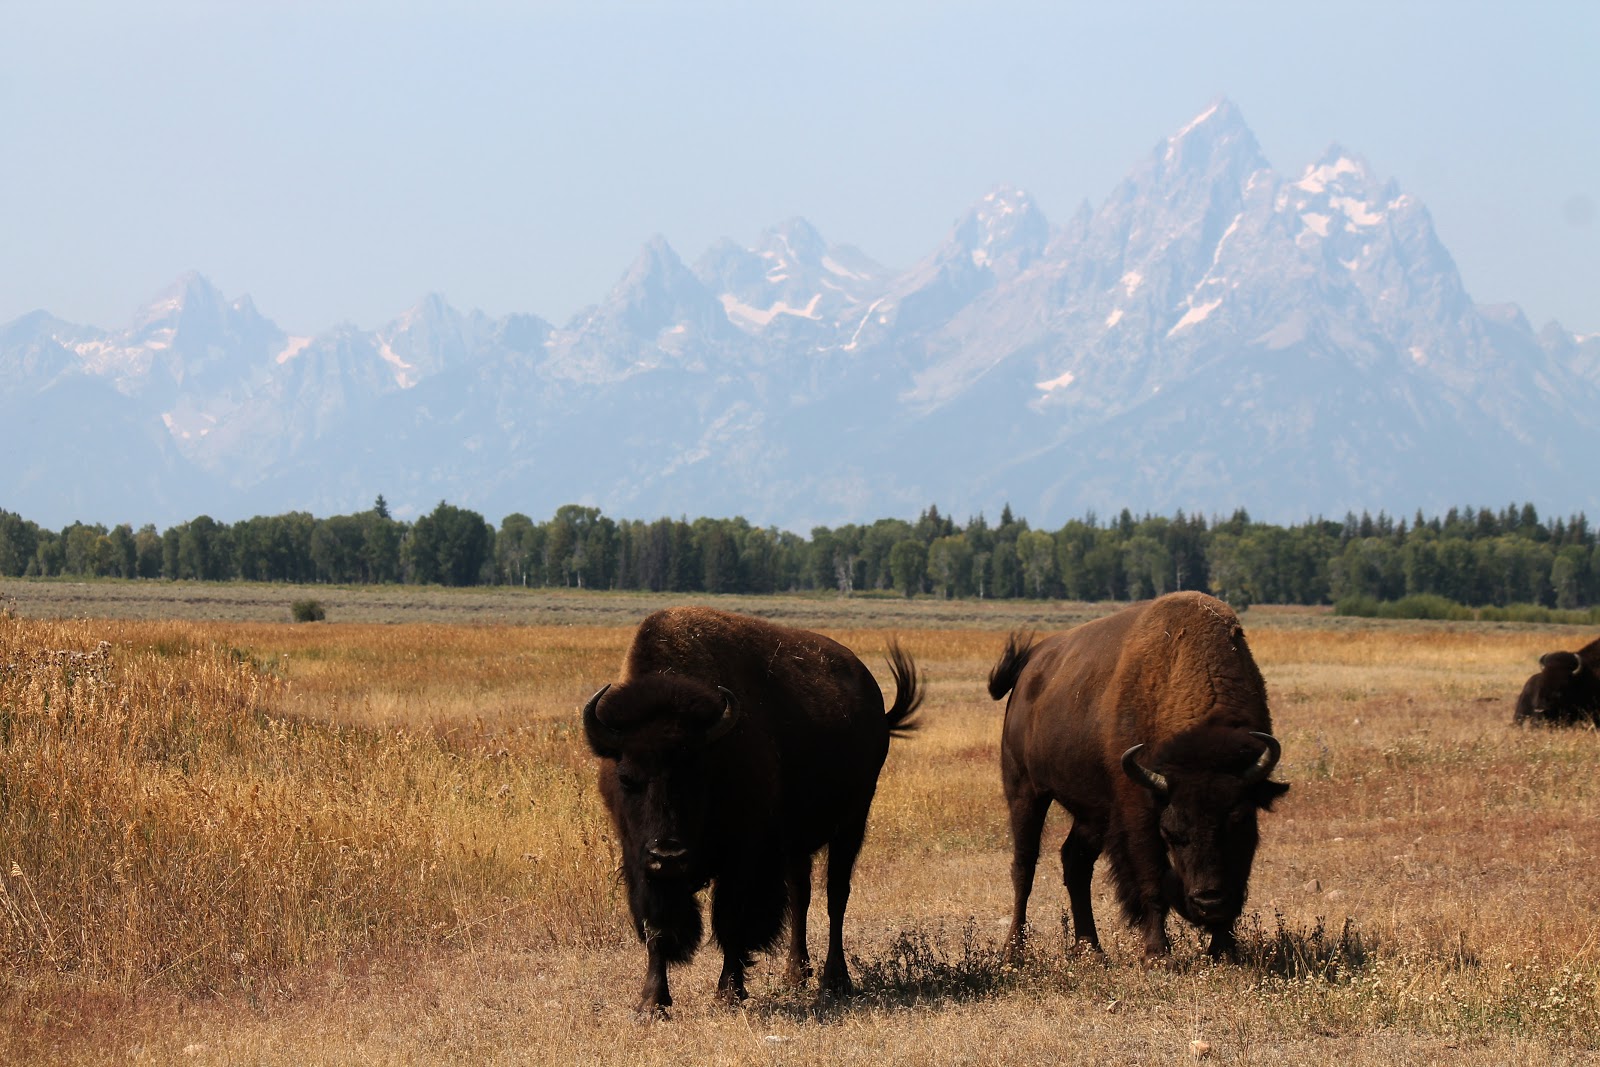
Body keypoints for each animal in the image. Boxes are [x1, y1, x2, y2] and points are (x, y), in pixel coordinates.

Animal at [582, 606, 922, 1013]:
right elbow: (657, 927)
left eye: (698, 774)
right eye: (627, 777)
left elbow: (733, 921)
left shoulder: (742, 858)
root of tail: (875, 704)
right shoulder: (640, 861)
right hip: (797, 845)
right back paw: (796, 974)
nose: (669, 854)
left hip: (852, 823)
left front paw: (729, 992)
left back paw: (835, 981)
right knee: (802, 895)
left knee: (836, 896)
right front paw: (652, 1002)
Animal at [987, 591, 1288, 962]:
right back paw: (1014, 950)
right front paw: (1157, 955)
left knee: (1075, 863)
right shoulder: (1140, 811)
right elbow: (1151, 879)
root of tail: (1031, 666)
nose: (1208, 900)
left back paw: (1091, 948)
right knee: (1024, 867)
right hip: (1025, 792)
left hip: (1091, 813)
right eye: (1171, 833)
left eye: (1239, 823)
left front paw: (1223, 950)